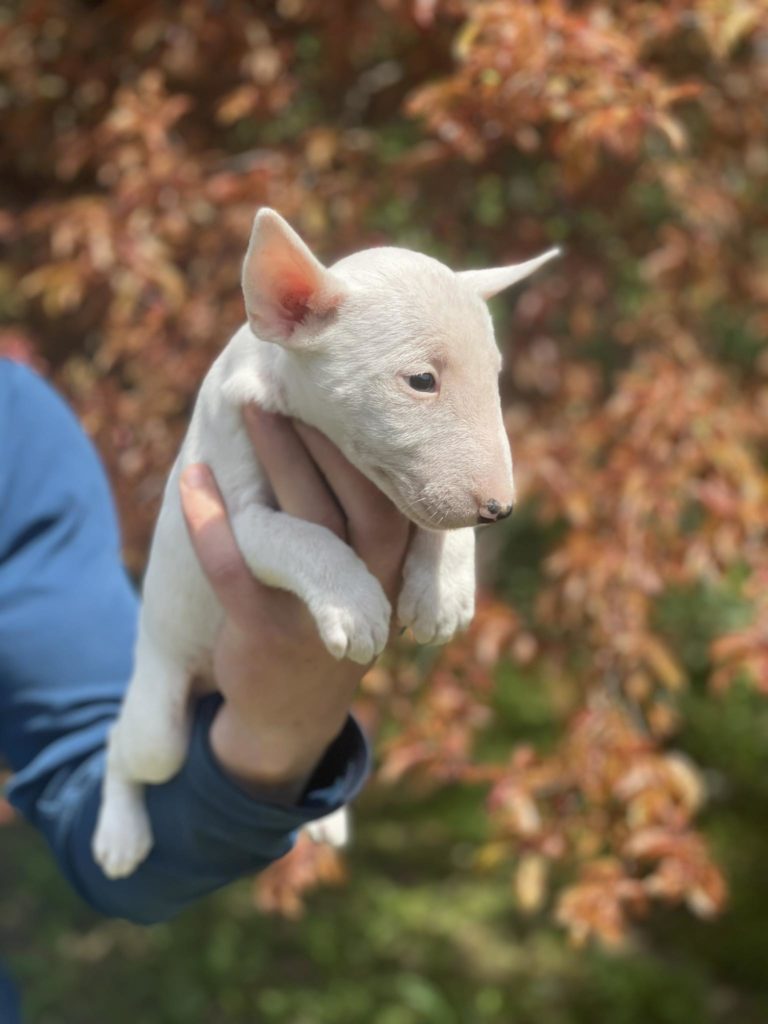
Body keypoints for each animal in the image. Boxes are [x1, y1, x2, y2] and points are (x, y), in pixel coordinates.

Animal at [93, 209, 561, 880]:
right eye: (422, 380)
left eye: (494, 377)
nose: (499, 509)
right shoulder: (229, 511)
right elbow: (304, 535)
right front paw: (356, 607)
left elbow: (438, 523)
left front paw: (443, 592)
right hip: (159, 712)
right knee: (124, 749)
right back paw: (119, 833)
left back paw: (328, 818)